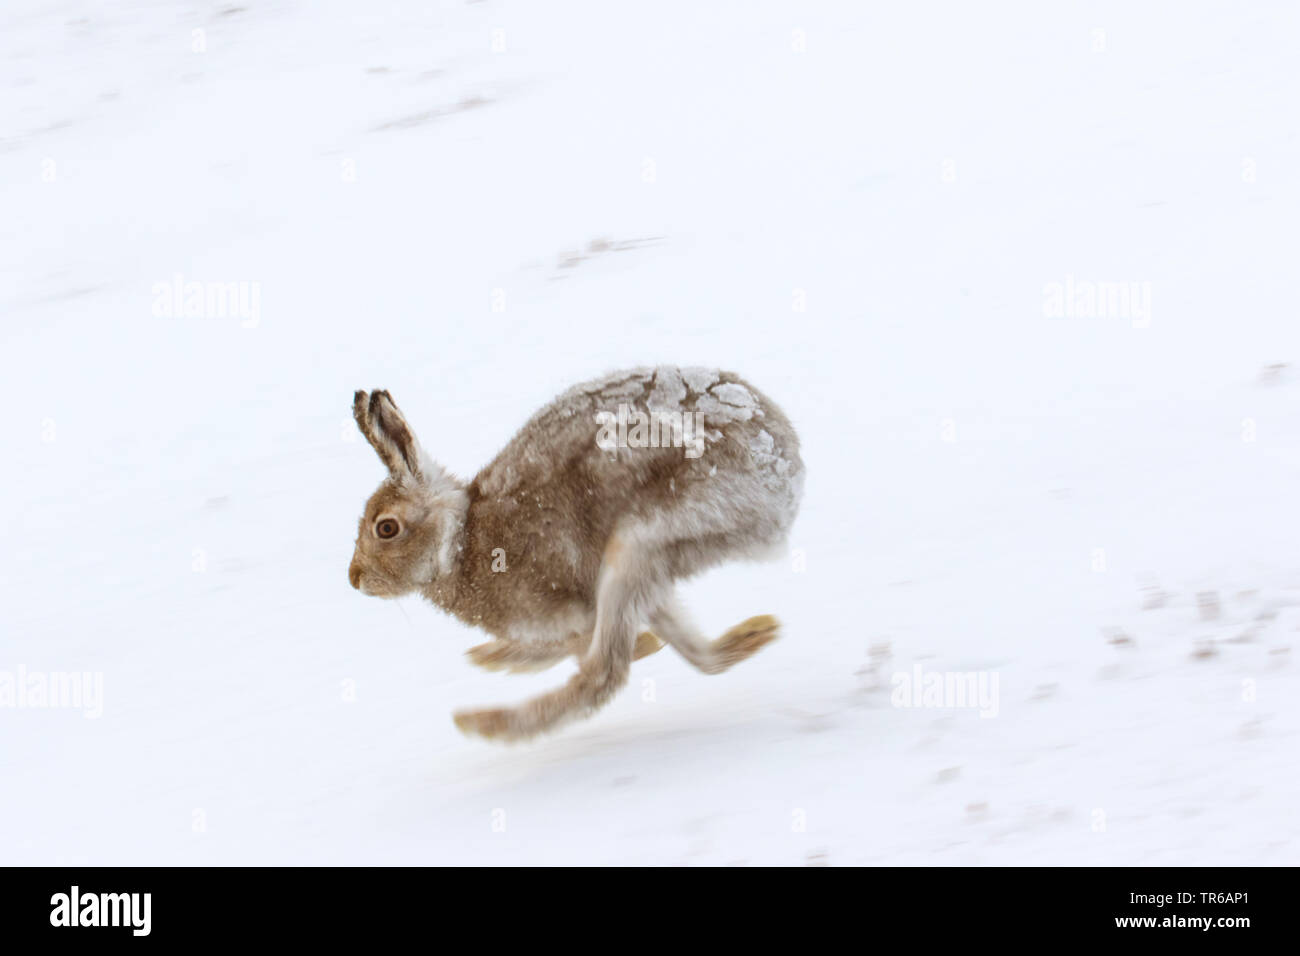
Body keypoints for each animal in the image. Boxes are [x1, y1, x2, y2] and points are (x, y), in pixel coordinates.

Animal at [348, 366, 804, 742]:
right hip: (656, 561)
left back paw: (486, 725)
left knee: (604, 674)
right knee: (696, 655)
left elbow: (582, 647)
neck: (461, 540)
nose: (355, 579)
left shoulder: (570, 608)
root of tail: (785, 467)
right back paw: (754, 635)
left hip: (642, 542)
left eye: (386, 528)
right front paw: (494, 658)